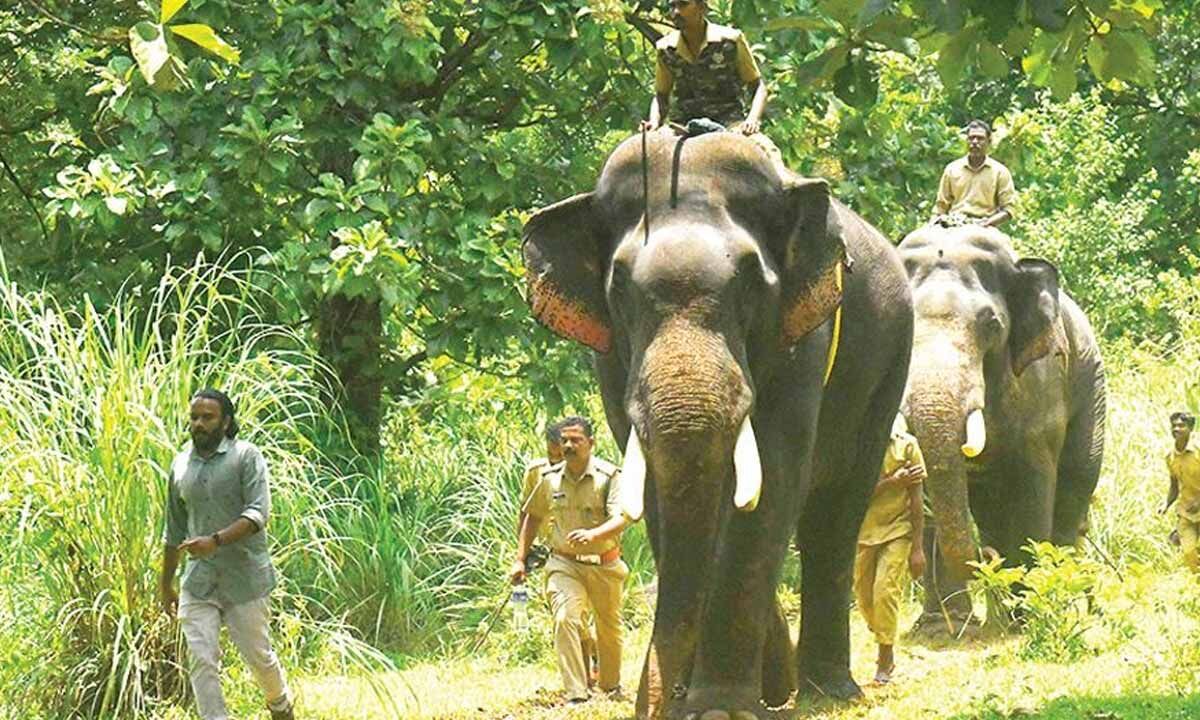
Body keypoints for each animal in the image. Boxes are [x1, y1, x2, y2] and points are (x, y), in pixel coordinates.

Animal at [521, 129, 913, 718]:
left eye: (752, 282)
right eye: (619, 289)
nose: (656, 704)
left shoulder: (802, 337)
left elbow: (771, 479)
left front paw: (721, 709)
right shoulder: (610, 358)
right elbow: (658, 493)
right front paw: (701, 702)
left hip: (889, 364)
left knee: (835, 515)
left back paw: (827, 691)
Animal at [896, 224, 1106, 633]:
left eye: (991, 325)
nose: (986, 557)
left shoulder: (1042, 381)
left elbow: (1032, 485)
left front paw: (1030, 618)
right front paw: (940, 628)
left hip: (1092, 386)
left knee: (1073, 487)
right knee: (990, 508)